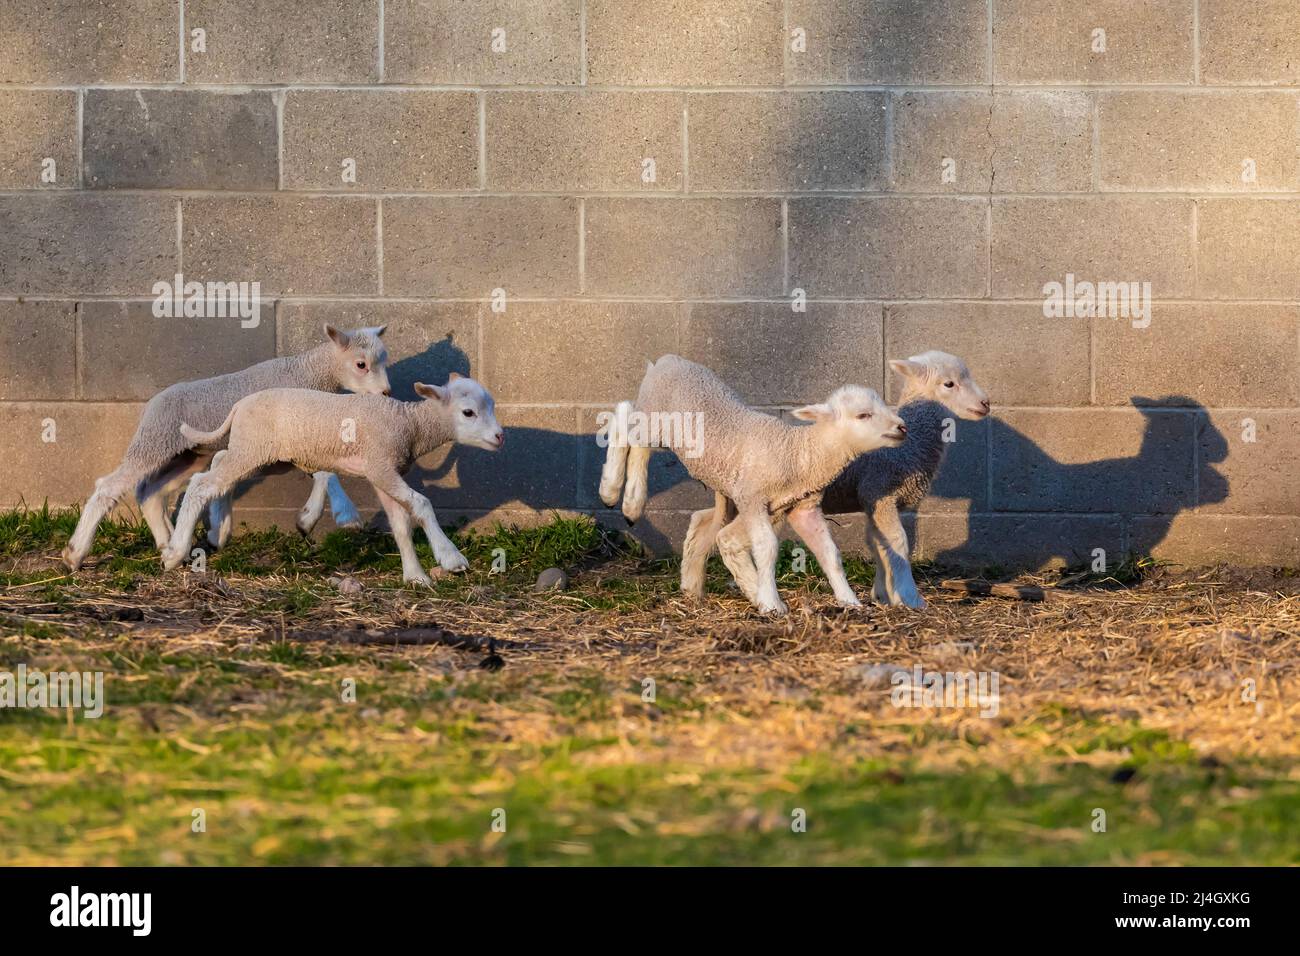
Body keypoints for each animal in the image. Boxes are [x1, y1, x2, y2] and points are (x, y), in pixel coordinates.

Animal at [61, 324, 389, 572]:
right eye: (361, 364)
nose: (386, 393)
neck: (307, 374)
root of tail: (151, 404)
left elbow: (323, 472)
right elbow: (326, 474)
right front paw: (340, 517)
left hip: (188, 455)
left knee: (150, 492)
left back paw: (169, 546)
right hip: (154, 440)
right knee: (109, 487)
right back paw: (75, 554)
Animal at [160, 373, 505, 587]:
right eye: (469, 412)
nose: (500, 437)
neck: (410, 423)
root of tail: (238, 406)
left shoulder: (383, 471)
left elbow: (401, 524)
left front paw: (415, 576)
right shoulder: (380, 466)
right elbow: (421, 504)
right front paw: (451, 558)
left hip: (262, 455)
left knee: (219, 466)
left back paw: (219, 529)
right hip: (253, 449)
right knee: (200, 484)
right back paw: (175, 552)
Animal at [599, 355, 906, 615]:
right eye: (863, 415)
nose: (902, 427)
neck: (797, 453)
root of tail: (665, 361)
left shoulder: (801, 507)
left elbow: (829, 553)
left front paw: (849, 600)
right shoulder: (753, 498)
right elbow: (767, 547)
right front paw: (769, 601)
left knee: (644, 451)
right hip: (657, 418)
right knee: (623, 421)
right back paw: (612, 492)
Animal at [819, 350, 990, 609]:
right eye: (949, 384)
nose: (985, 403)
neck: (909, 446)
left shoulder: (873, 501)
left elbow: (878, 544)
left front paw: (883, 594)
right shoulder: (881, 492)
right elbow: (898, 542)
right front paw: (910, 597)